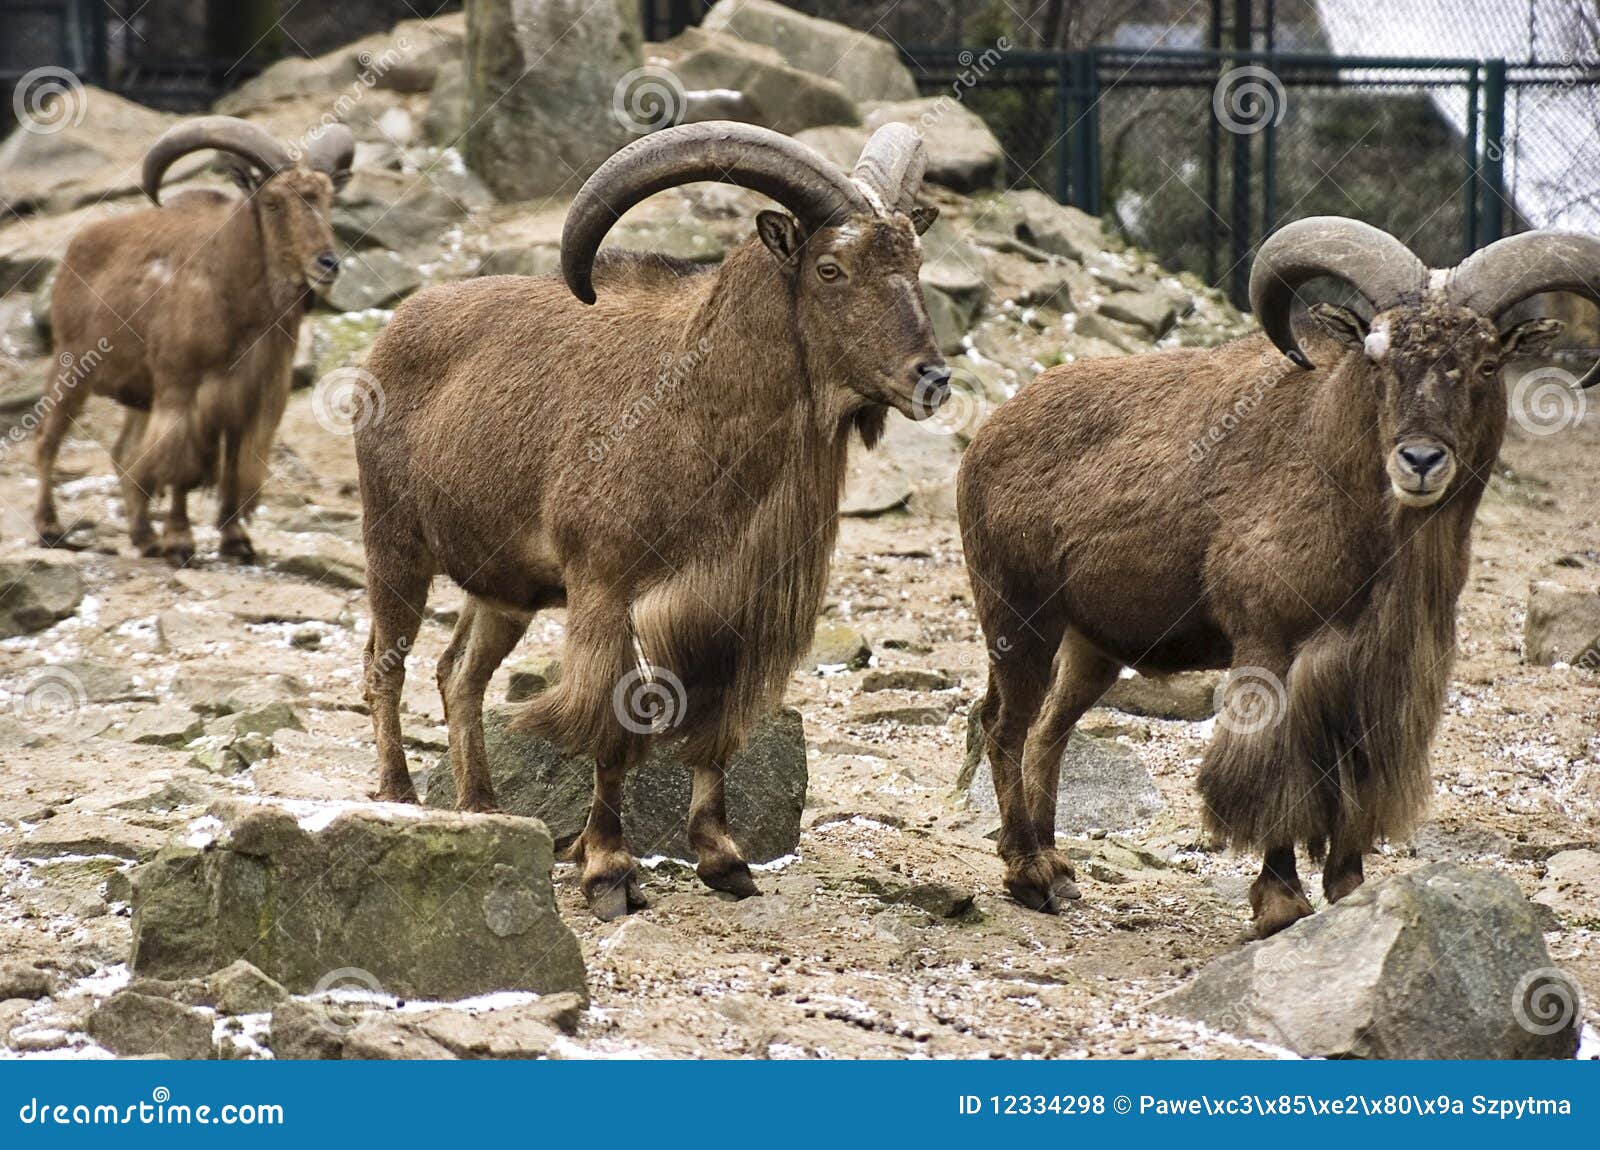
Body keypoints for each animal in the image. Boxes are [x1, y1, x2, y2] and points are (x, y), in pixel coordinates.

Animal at [36, 116, 352, 563]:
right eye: (273, 202)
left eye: (327, 199)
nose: (327, 264)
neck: (234, 295)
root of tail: (73, 251)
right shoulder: (181, 387)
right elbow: (180, 466)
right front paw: (180, 541)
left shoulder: (249, 397)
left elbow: (233, 465)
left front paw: (236, 541)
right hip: (72, 366)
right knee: (49, 439)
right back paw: (50, 528)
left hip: (139, 395)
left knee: (124, 454)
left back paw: (143, 536)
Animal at [355, 121, 949, 920]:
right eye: (831, 268)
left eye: (914, 261)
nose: (933, 378)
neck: (696, 407)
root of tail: (395, 329)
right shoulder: (606, 587)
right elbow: (613, 726)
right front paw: (608, 869)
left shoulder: (731, 608)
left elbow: (714, 728)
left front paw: (724, 859)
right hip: (393, 544)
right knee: (385, 665)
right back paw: (399, 793)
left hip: (503, 589)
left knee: (459, 674)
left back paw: (482, 806)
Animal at [958, 217, 1600, 937]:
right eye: (1376, 359)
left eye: (1488, 362)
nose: (1420, 460)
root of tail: (990, 431)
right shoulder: (1270, 645)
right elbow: (1274, 771)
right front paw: (1280, 901)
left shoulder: (1372, 670)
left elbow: (1356, 776)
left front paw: (1348, 887)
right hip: (1019, 616)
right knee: (1003, 724)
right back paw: (1029, 875)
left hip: (1091, 644)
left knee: (1050, 730)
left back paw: (1057, 865)